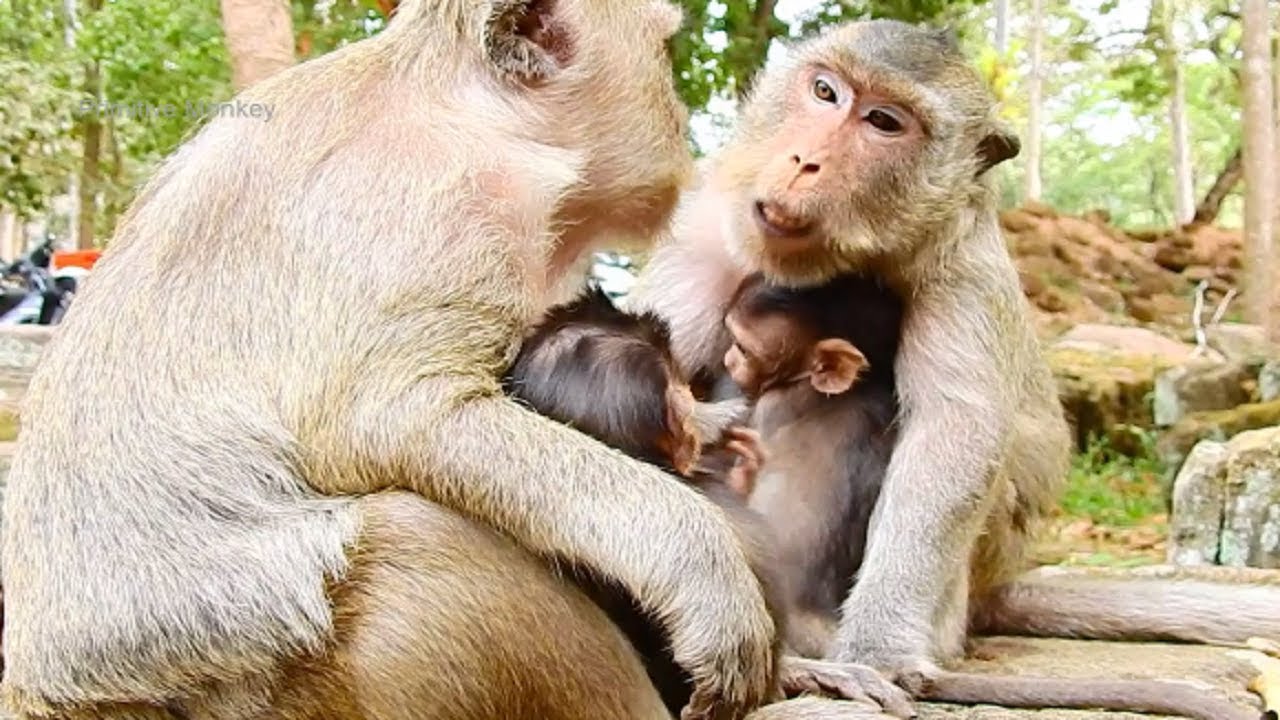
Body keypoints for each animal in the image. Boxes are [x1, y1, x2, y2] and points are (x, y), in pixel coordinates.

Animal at [0, 2, 924, 719]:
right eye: (664, 51)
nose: (684, 132)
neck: (466, 111)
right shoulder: (448, 214)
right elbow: (398, 415)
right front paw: (706, 571)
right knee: (424, 538)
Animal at [623, 15, 1280, 711]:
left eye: (884, 122)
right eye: (825, 92)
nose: (805, 160)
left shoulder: (963, 267)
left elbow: (951, 437)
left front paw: (878, 649)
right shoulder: (708, 224)